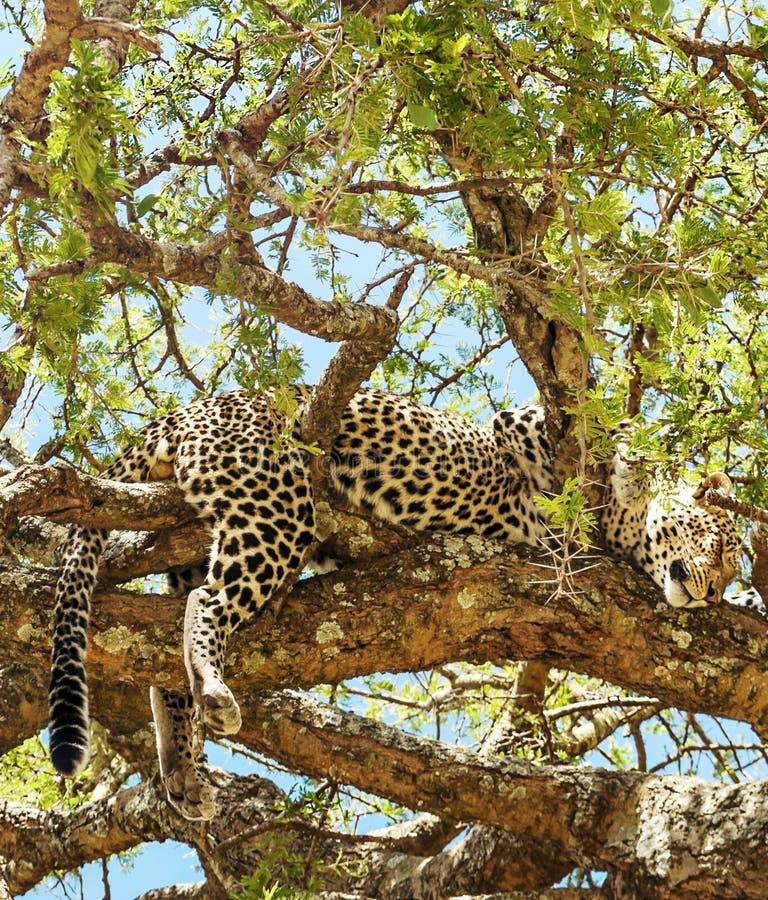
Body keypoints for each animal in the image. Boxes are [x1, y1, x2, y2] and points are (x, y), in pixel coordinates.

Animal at [47, 389, 762, 820]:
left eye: (731, 569)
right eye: (725, 542)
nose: (713, 593)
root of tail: (194, 406)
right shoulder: (526, 427)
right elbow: (577, 455)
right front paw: (623, 469)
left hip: (218, 533)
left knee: (165, 643)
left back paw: (184, 767)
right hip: (277, 501)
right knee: (207, 600)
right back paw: (213, 692)